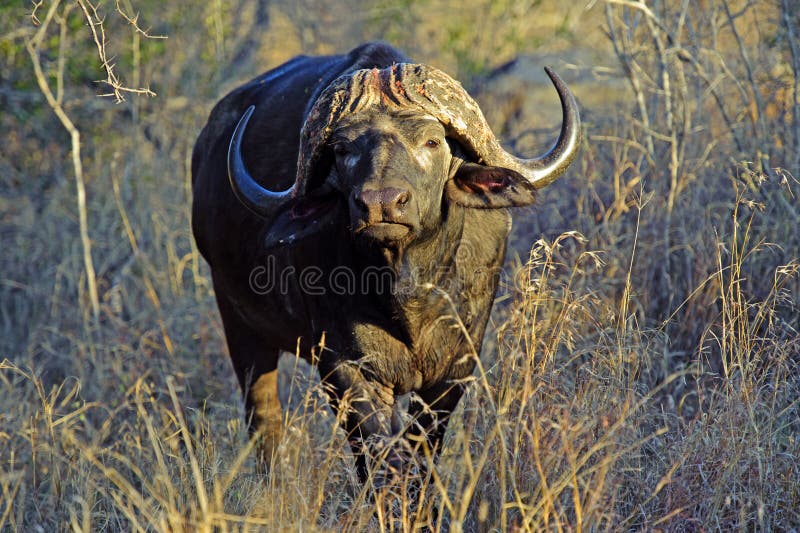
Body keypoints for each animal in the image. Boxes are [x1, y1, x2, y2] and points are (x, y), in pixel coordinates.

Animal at [191, 42, 580, 482]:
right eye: (343, 150)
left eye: (432, 142)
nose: (380, 202)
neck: (407, 291)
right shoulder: (346, 369)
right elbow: (380, 457)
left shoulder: (455, 367)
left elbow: (421, 453)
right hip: (240, 328)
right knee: (264, 421)